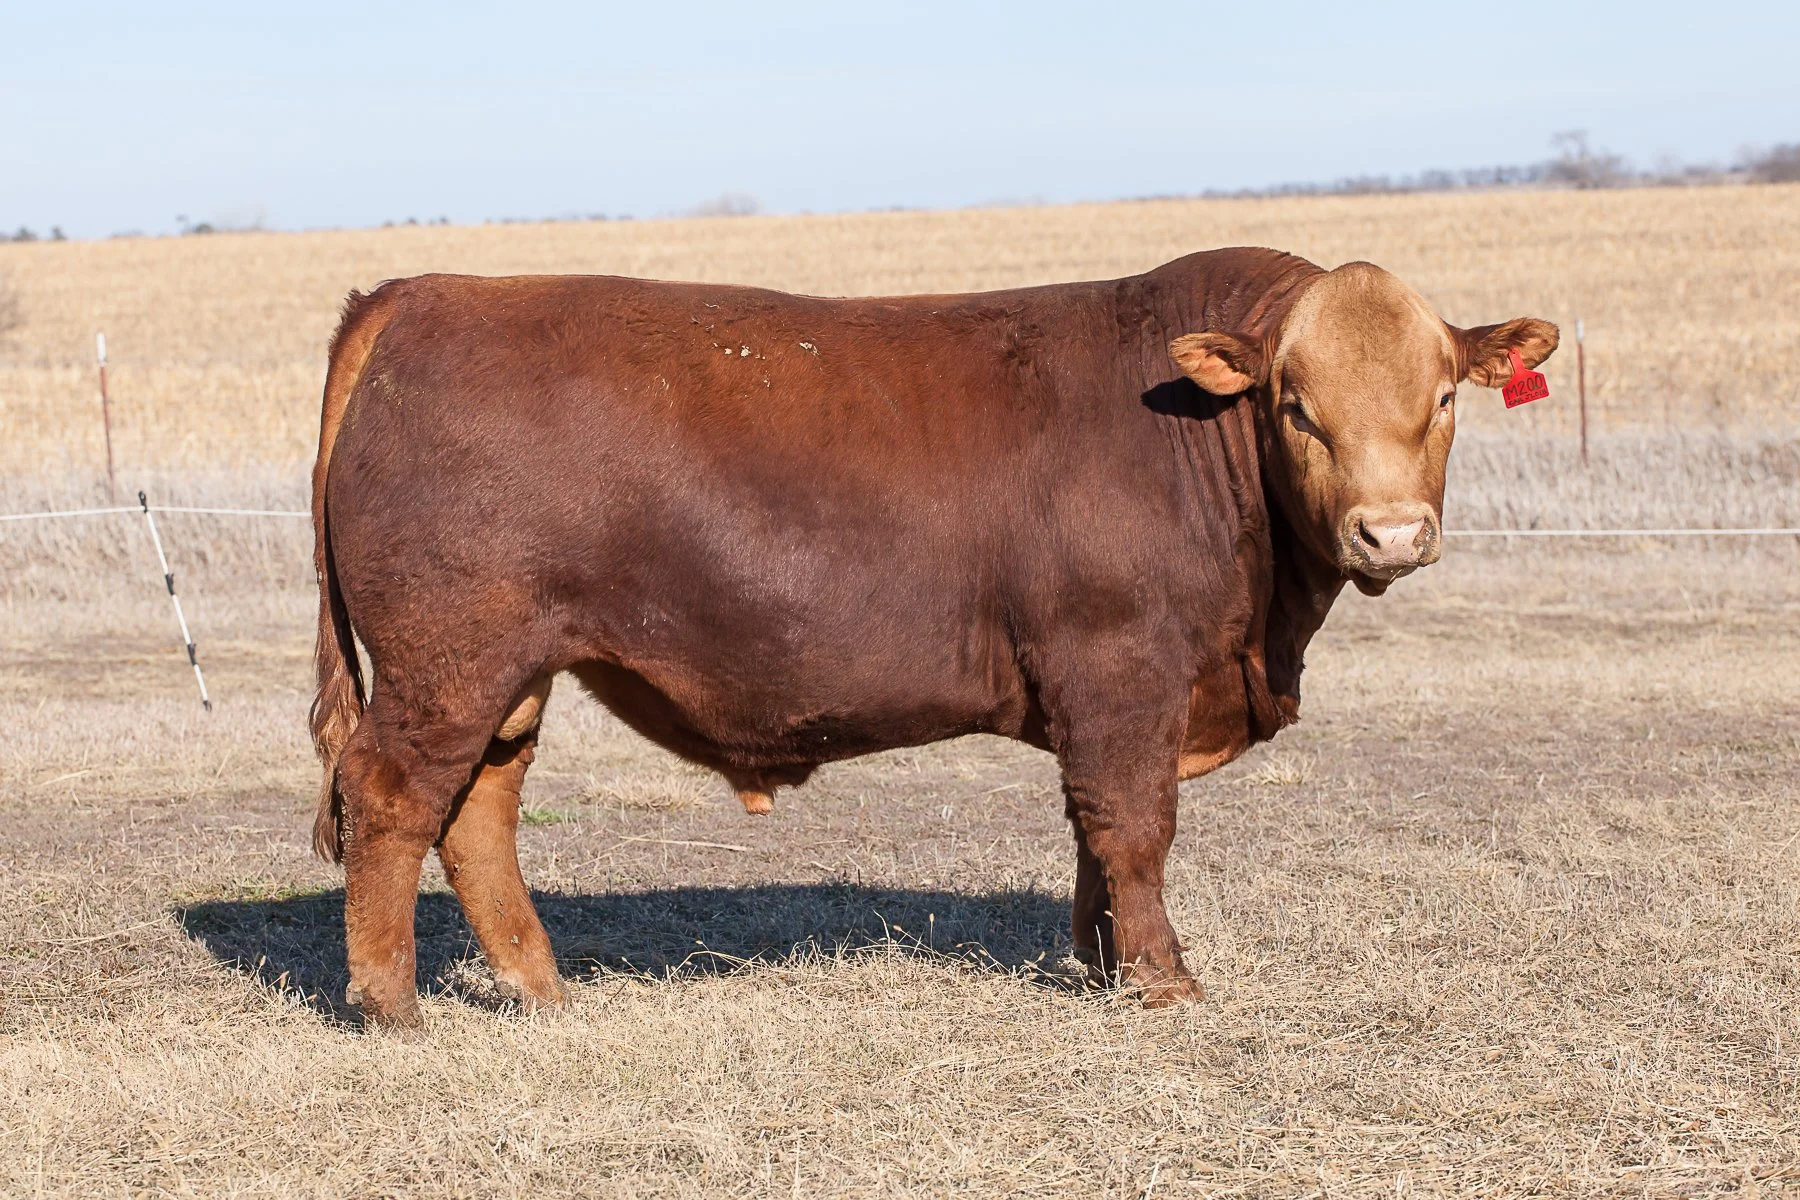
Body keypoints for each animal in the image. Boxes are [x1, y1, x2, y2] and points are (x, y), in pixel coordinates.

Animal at [307, 248, 1556, 1030]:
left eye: (1446, 397)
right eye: (1297, 404)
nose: (1391, 532)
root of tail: (422, 294)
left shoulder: (1101, 699)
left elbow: (1091, 836)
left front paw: (1099, 964)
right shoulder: (1120, 669)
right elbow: (1134, 826)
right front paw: (1162, 982)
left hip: (507, 677)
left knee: (475, 813)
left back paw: (539, 990)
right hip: (447, 663)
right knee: (393, 798)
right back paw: (391, 1004)